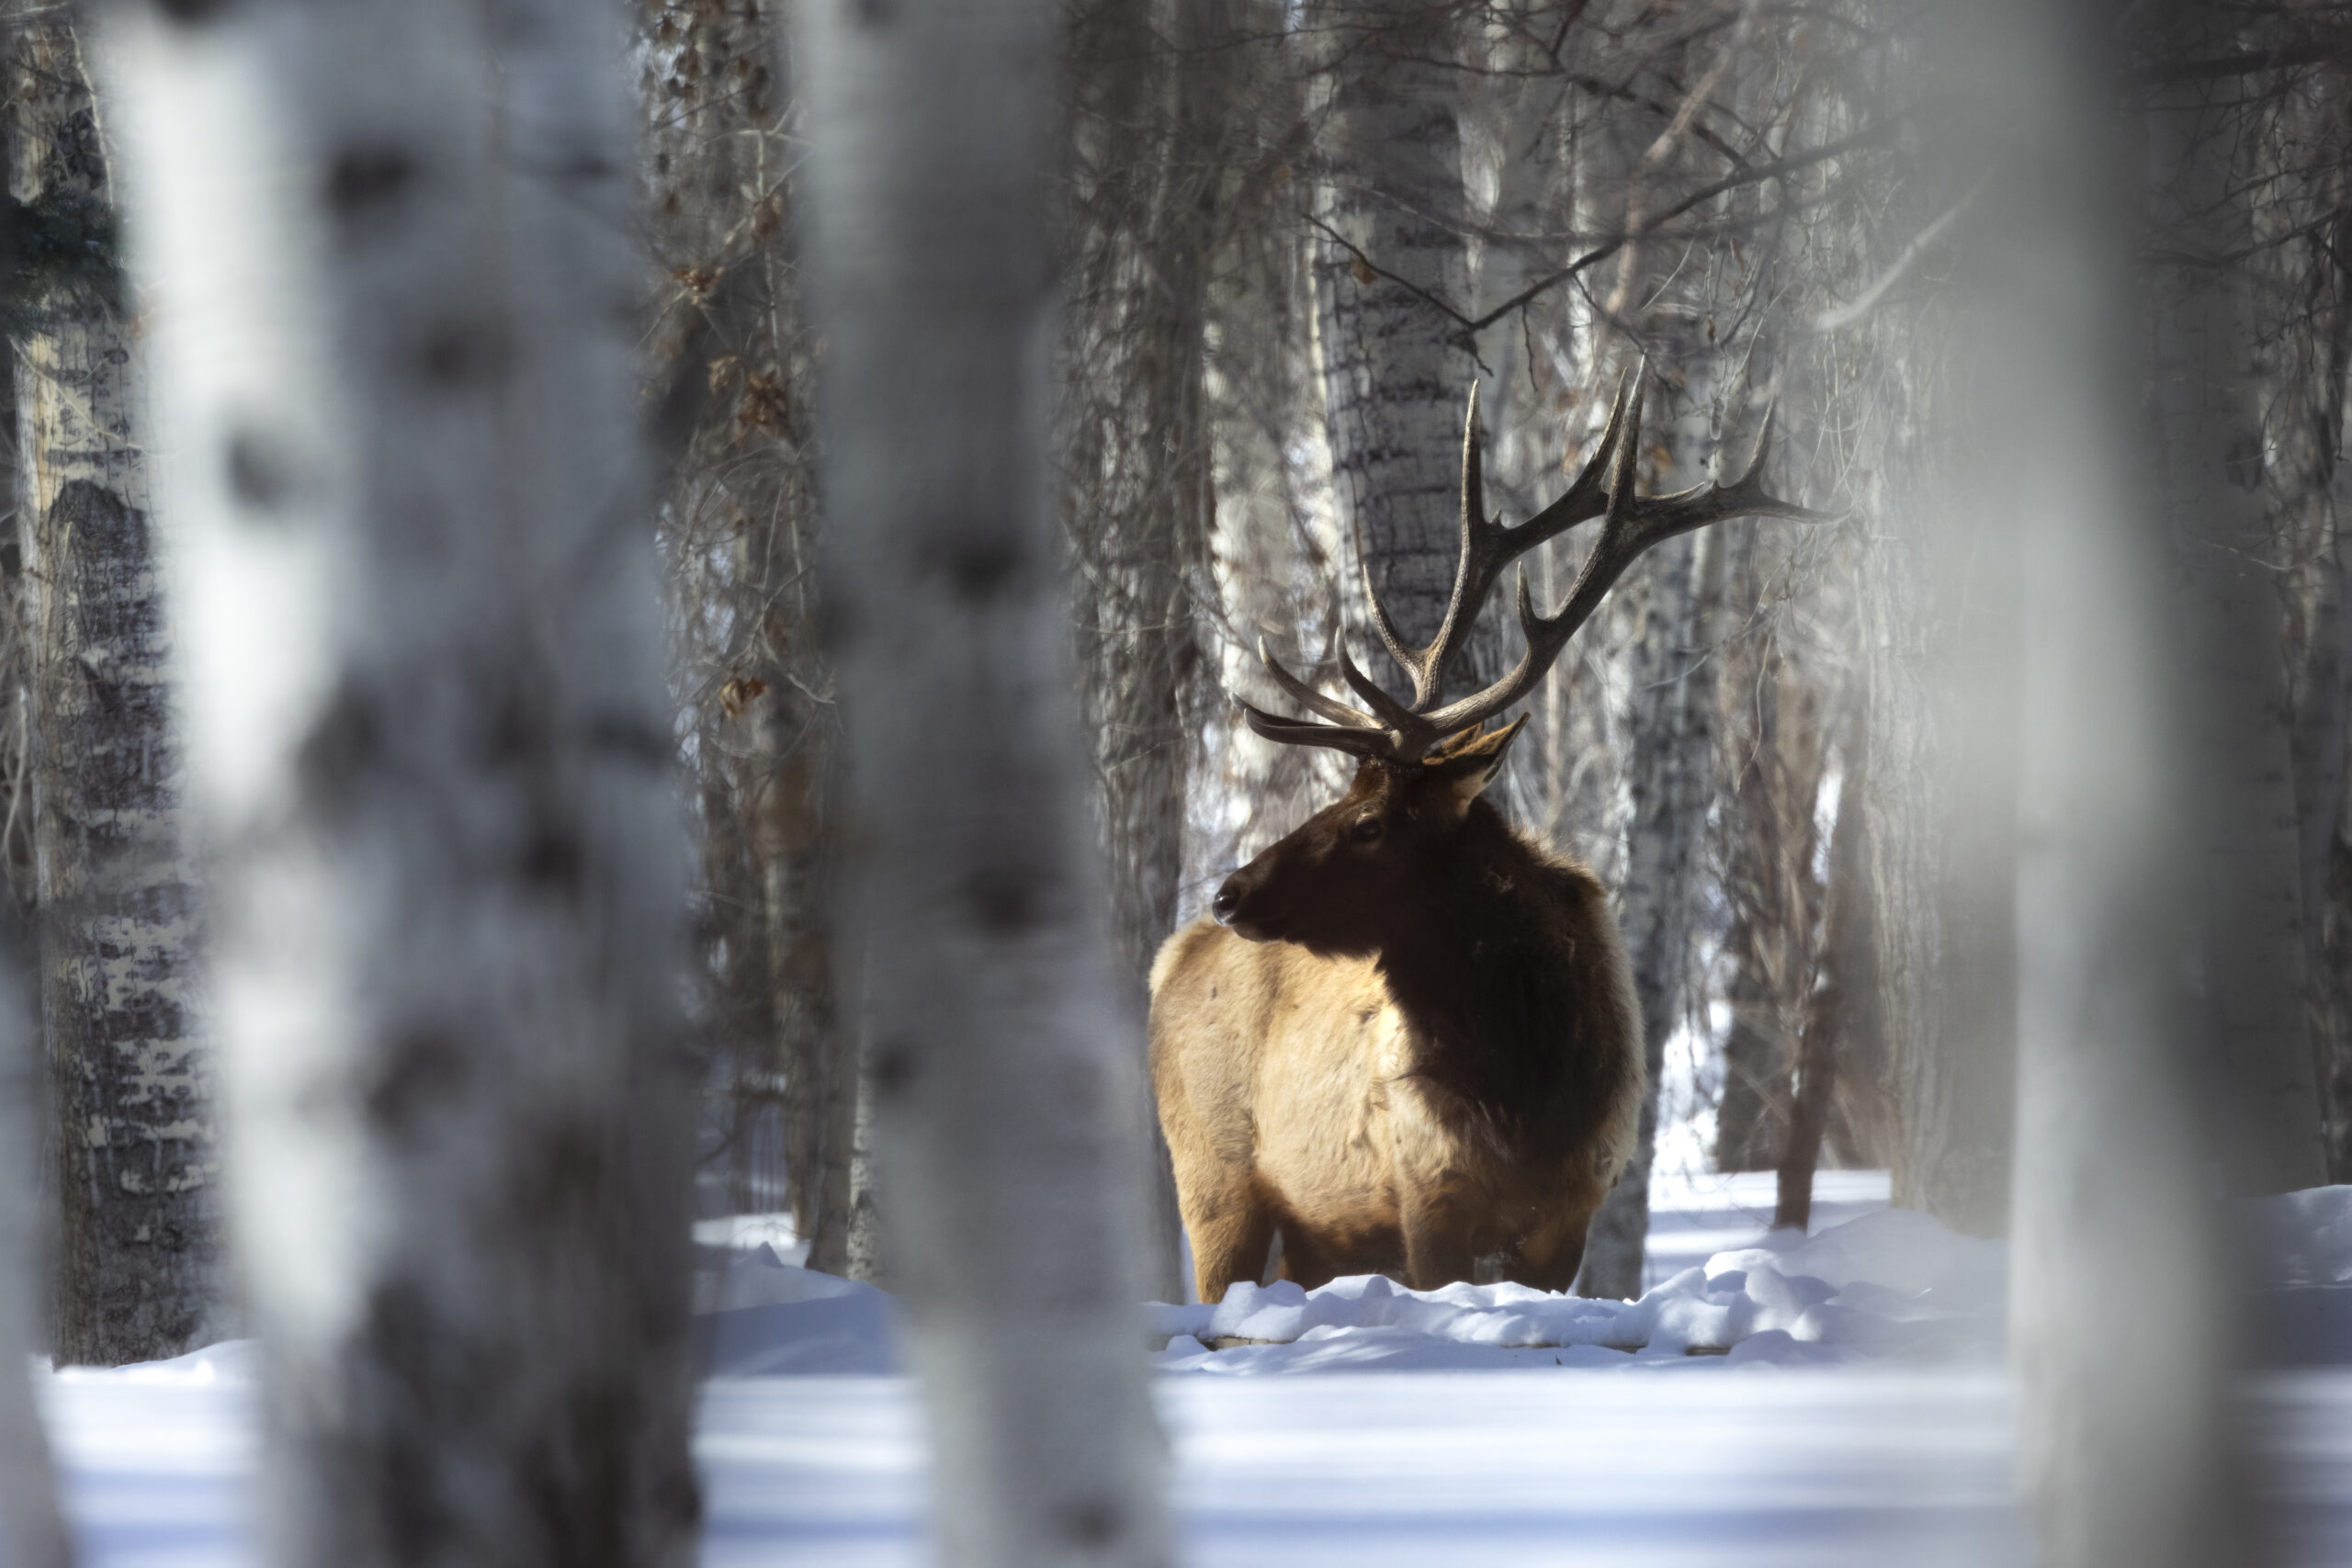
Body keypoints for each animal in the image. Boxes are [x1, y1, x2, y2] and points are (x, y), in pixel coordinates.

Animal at [1148, 367, 1822, 1303]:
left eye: (1368, 821)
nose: (1227, 890)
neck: (1530, 1088)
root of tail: (1165, 960)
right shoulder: (1426, 1198)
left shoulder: (1571, 1214)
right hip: (1212, 1181)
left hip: (1312, 1231)